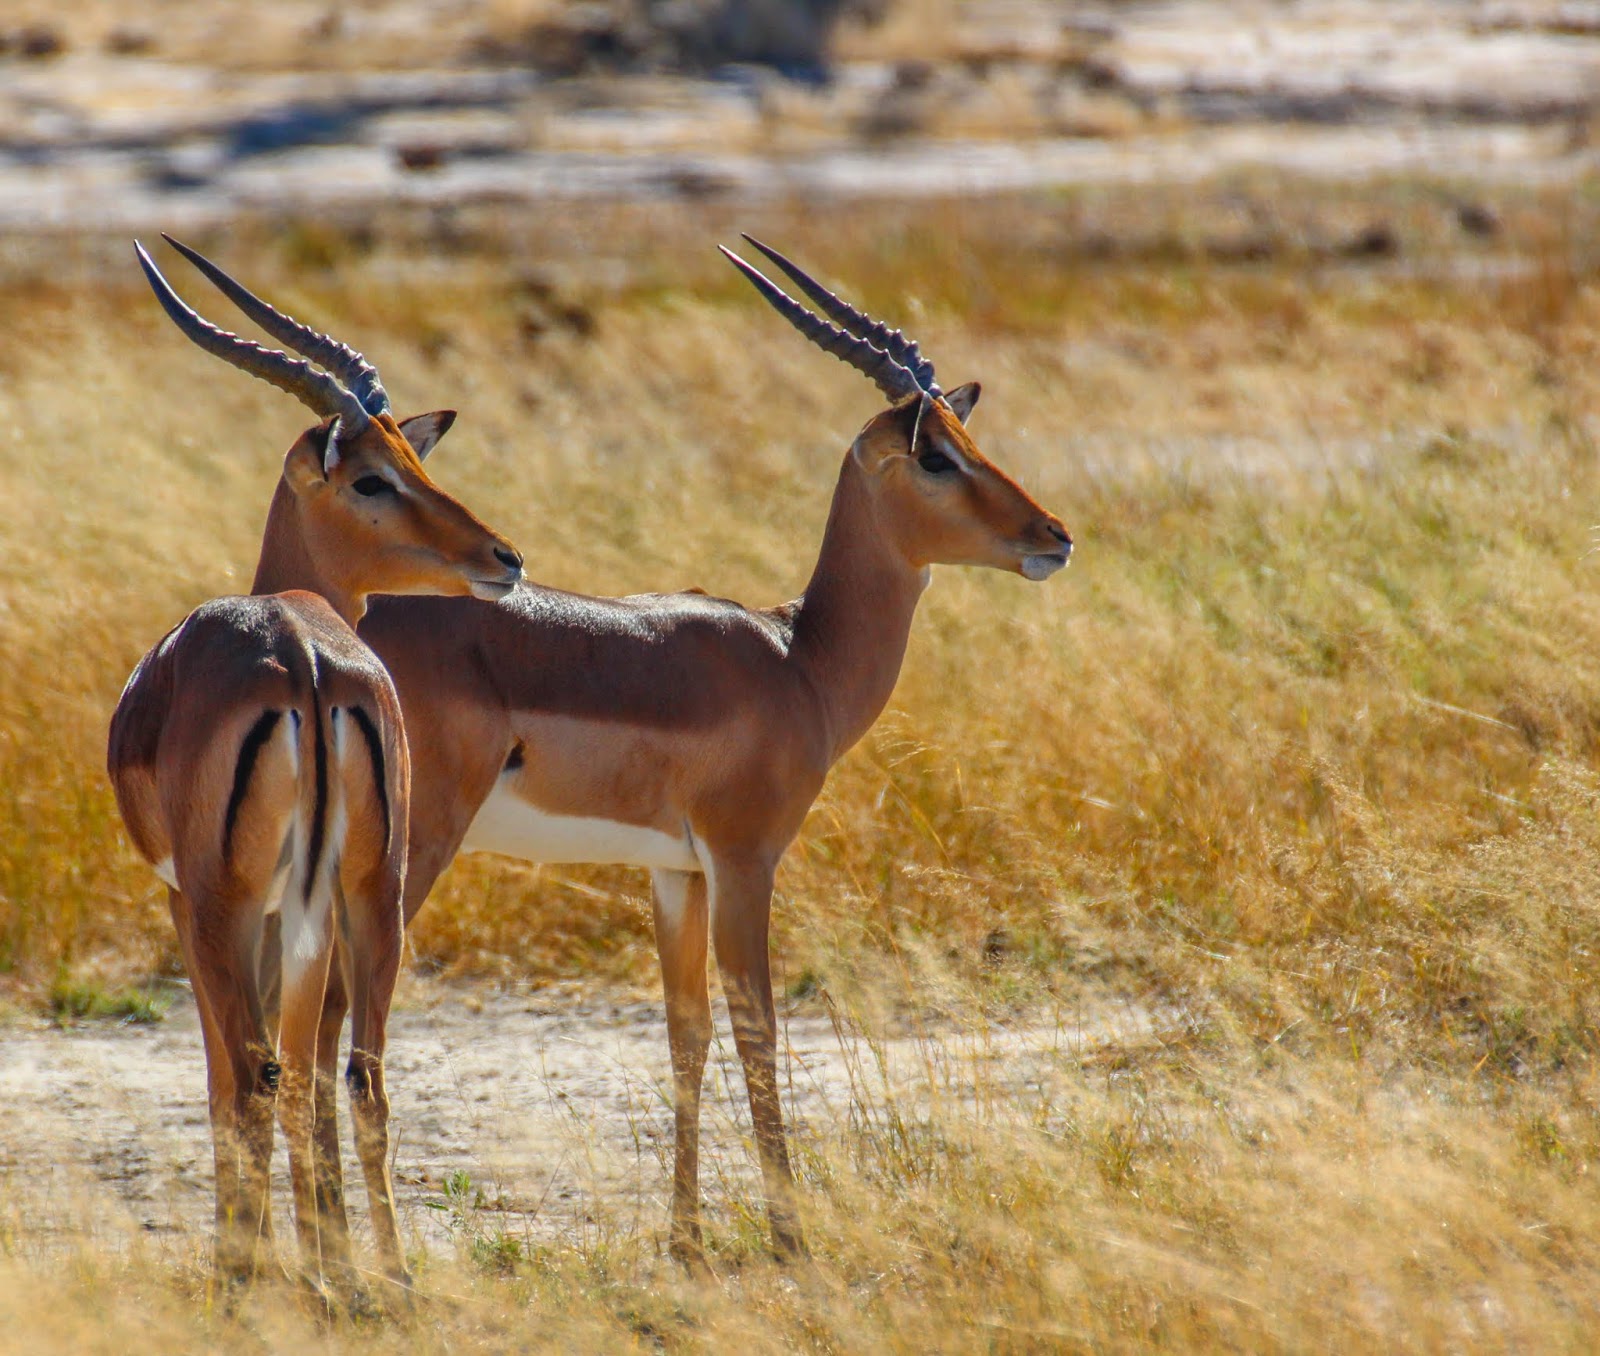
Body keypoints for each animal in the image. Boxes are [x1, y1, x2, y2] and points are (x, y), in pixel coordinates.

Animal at [107, 238, 524, 1301]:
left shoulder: (196, 901)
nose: (502, 556)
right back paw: (388, 1276)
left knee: (257, 1071)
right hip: (371, 894)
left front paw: (255, 1256)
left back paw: (260, 1278)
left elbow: (225, 1075)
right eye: (374, 477)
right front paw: (322, 1255)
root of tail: (300, 657)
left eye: (410, 460)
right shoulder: (301, 906)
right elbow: (311, 1067)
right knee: (355, 1071)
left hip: (235, 901)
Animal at [358, 238, 1072, 1265]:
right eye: (935, 456)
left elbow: (686, 1032)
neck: (797, 657)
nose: (1053, 536)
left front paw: (687, 1239)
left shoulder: (675, 870)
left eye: (972, 441)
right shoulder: (745, 860)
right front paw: (789, 1234)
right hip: (408, 855)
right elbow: (758, 1028)